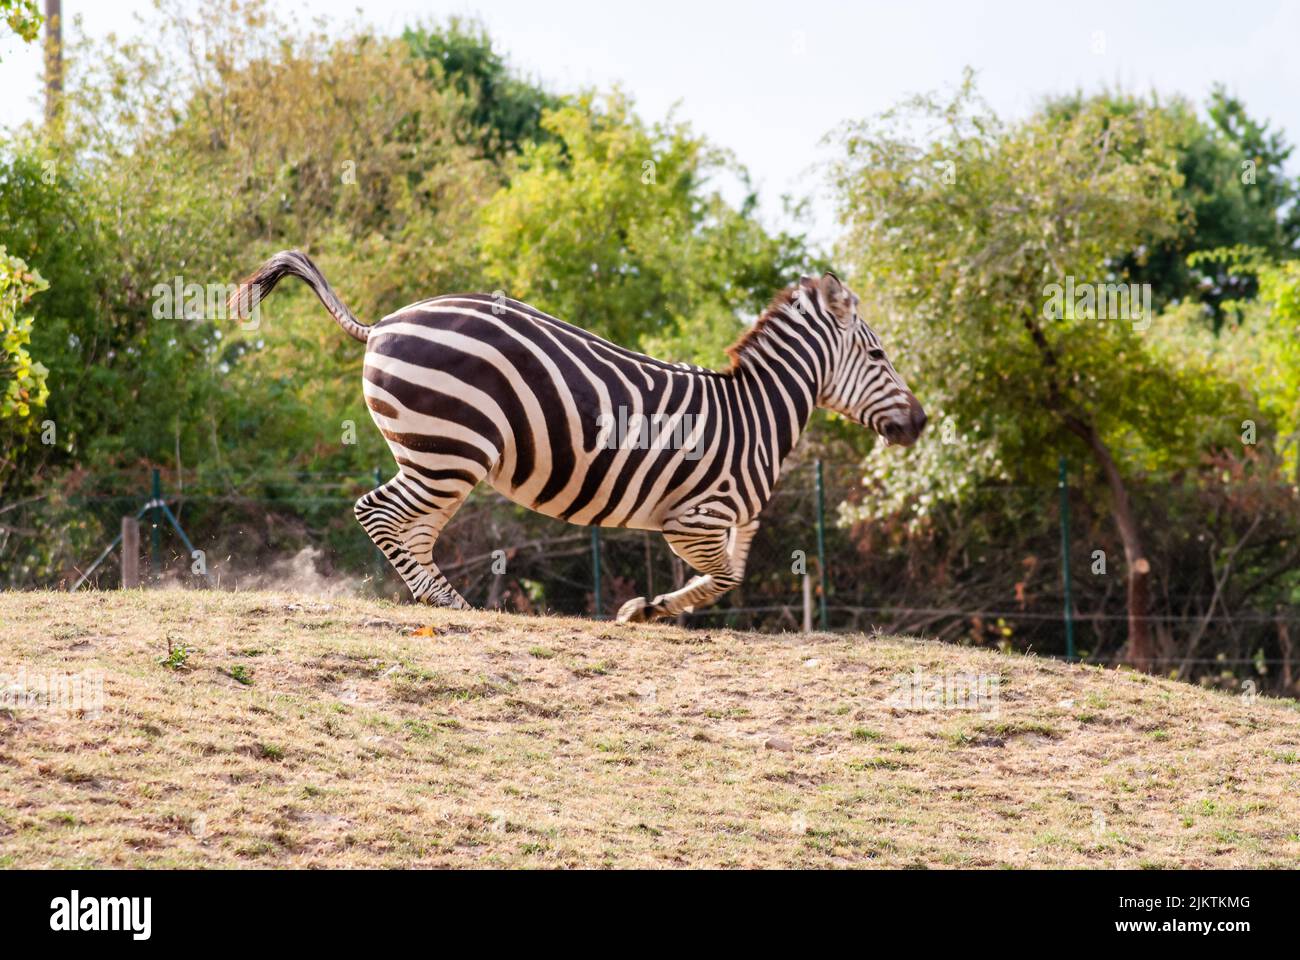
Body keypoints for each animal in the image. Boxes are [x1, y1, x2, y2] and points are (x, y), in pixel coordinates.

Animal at [230, 251, 926, 623]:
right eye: (879, 354)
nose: (920, 422)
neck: (757, 414)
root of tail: (382, 323)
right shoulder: (694, 519)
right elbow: (724, 579)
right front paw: (644, 610)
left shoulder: (738, 523)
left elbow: (729, 577)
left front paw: (648, 609)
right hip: (450, 449)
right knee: (377, 512)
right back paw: (451, 604)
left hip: (438, 457)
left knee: (411, 528)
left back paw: (438, 600)